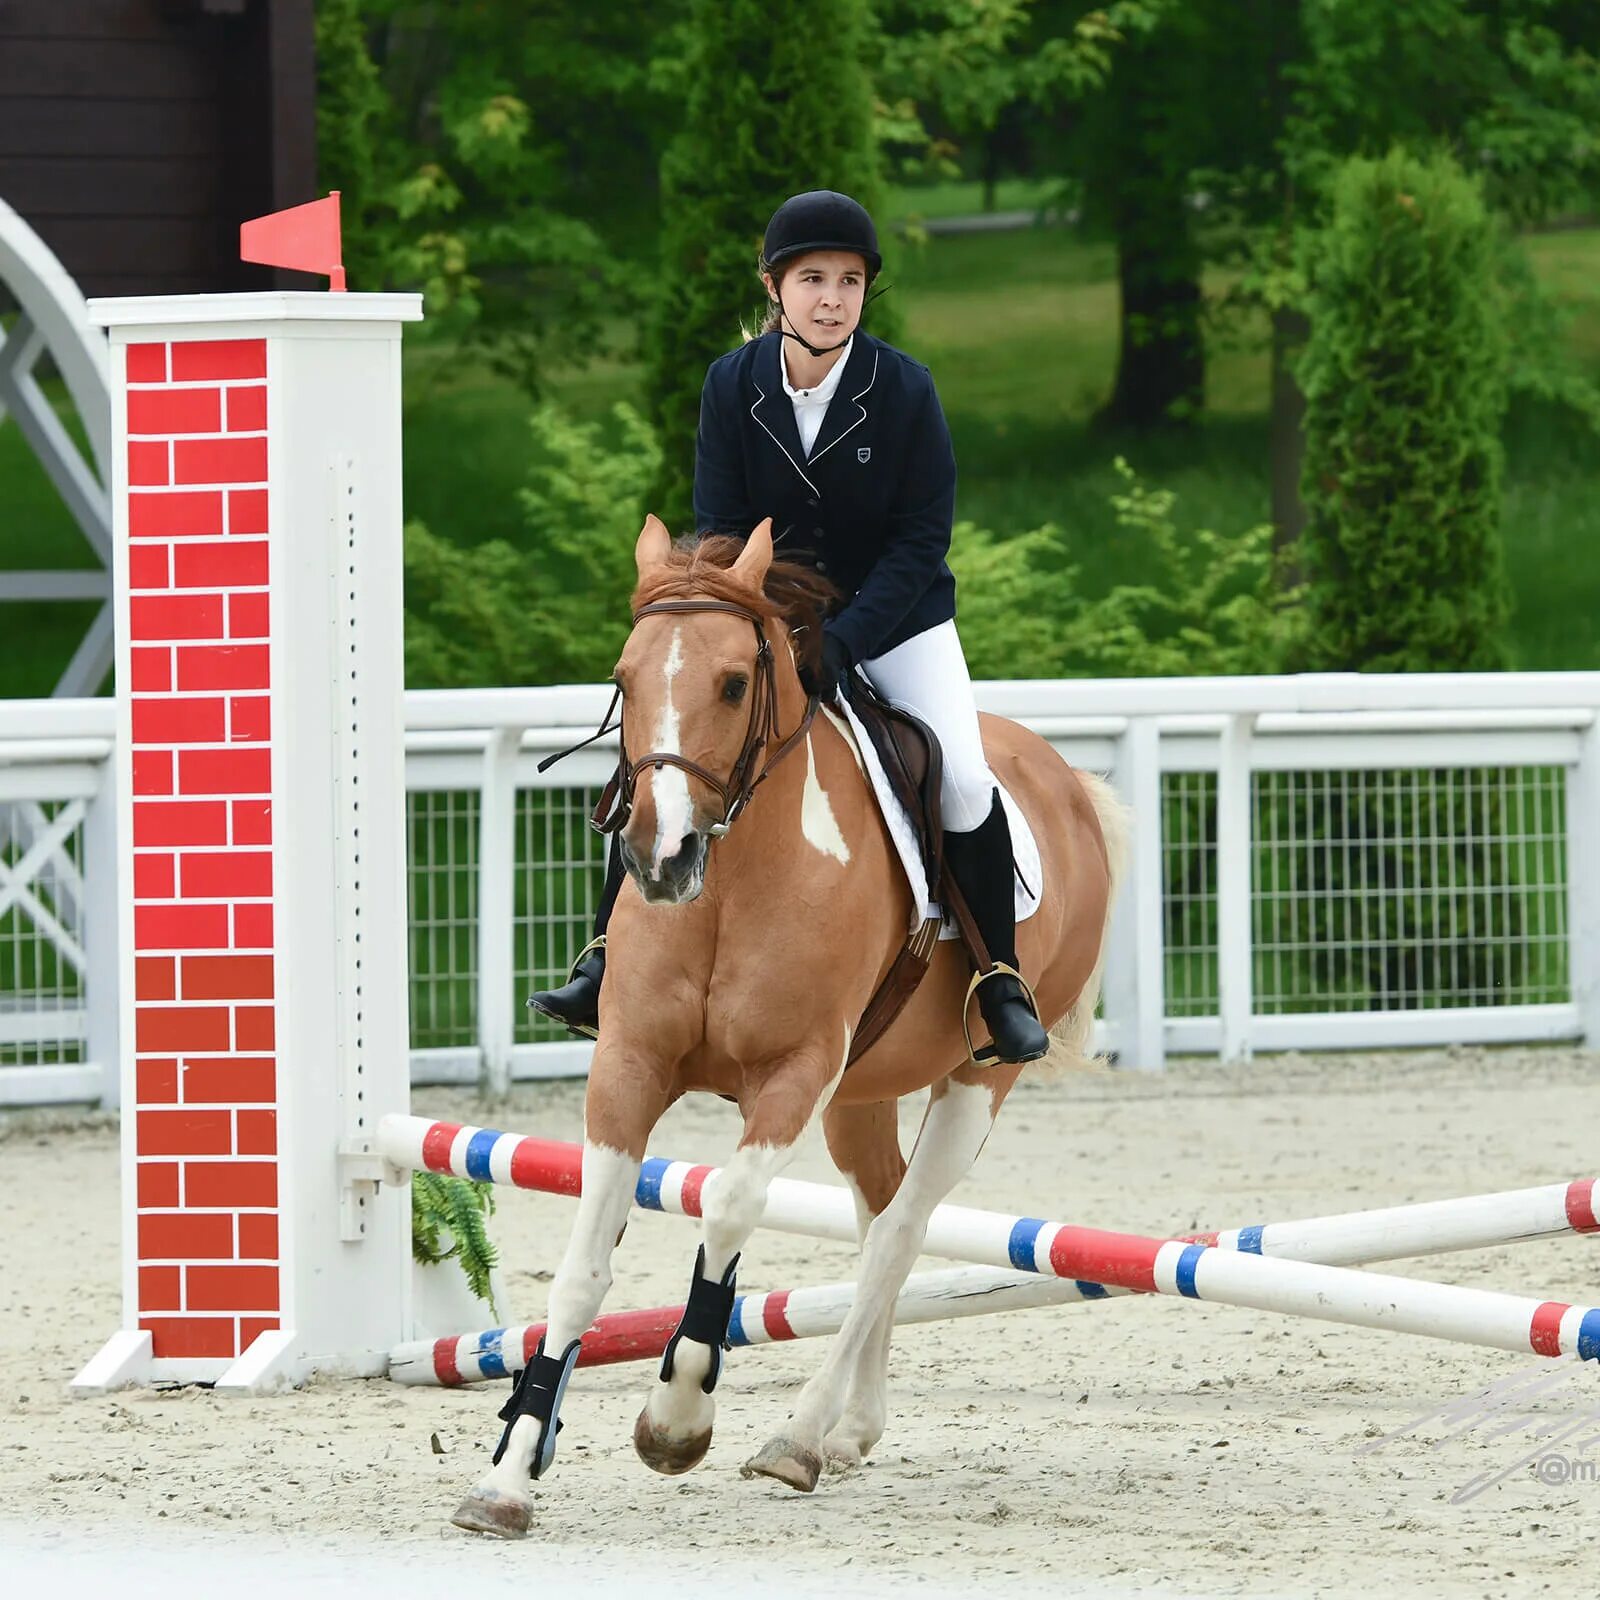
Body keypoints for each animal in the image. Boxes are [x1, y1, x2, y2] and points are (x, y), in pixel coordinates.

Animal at [451, 515, 1126, 1536]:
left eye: (734, 683)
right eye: (625, 678)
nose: (660, 857)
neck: (730, 884)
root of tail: (1068, 782)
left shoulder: (796, 1070)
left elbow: (729, 1205)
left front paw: (678, 1417)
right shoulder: (629, 1064)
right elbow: (583, 1265)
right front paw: (509, 1476)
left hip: (976, 1078)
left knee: (897, 1234)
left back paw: (800, 1438)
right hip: (862, 1092)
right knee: (881, 1209)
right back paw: (852, 1427)